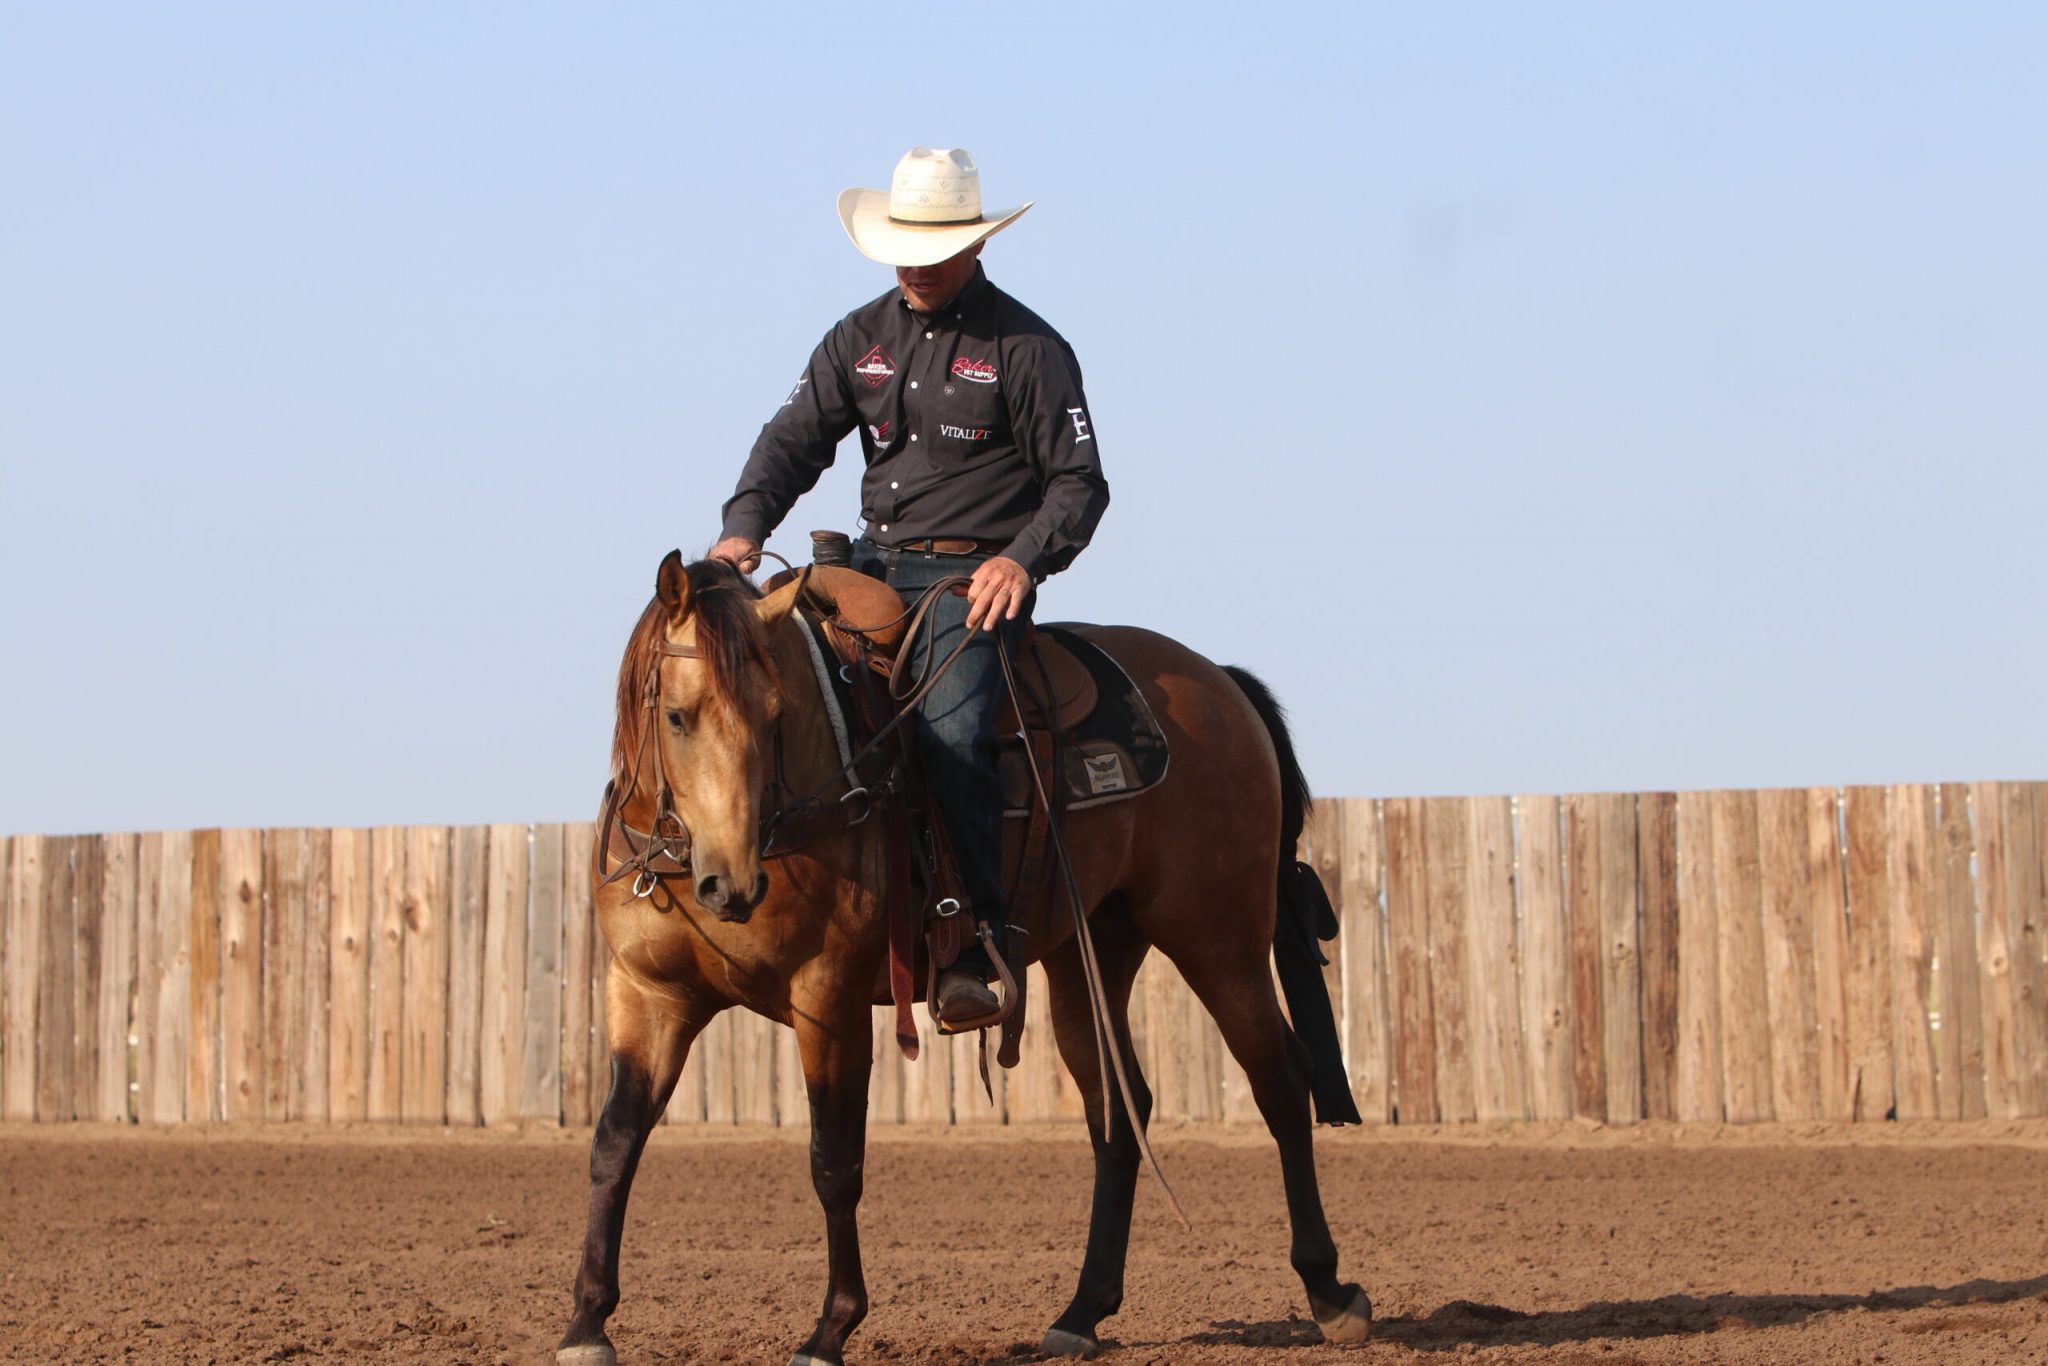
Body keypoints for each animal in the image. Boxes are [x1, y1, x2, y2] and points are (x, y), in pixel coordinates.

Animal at [556, 551, 1373, 1366]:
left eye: (774, 713)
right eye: (677, 716)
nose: (733, 885)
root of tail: (1220, 684)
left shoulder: (830, 1001)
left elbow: (834, 1161)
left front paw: (832, 1327)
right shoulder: (648, 995)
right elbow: (614, 1143)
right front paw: (587, 1323)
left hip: (1217, 934)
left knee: (1280, 1079)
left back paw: (1330, 1292)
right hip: (1093, 952)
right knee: (1119, 1109)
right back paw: (1083, 1311)